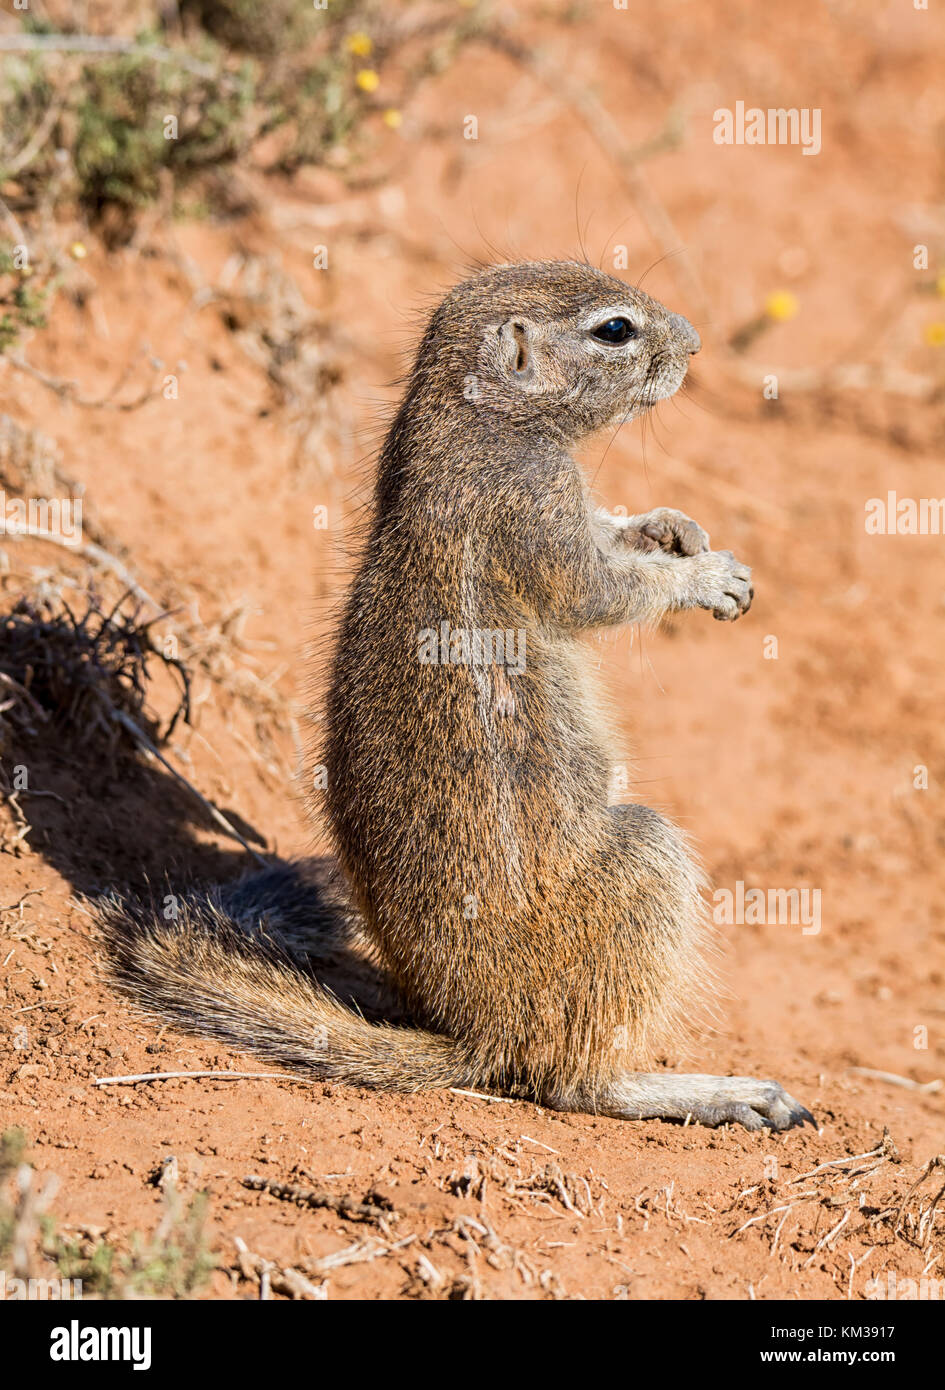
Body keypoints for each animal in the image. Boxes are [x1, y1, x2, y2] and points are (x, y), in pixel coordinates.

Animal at [102, 260, 813, 1133]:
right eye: (614, 329)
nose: (695, 343)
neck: (479, 422)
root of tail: (474, 1035)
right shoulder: (535, 511)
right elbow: (603, 591)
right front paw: (704, 577)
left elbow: (614, 530)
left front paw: (672, 526)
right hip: (643, 864)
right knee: (569, 1080)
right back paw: (716, 1092)